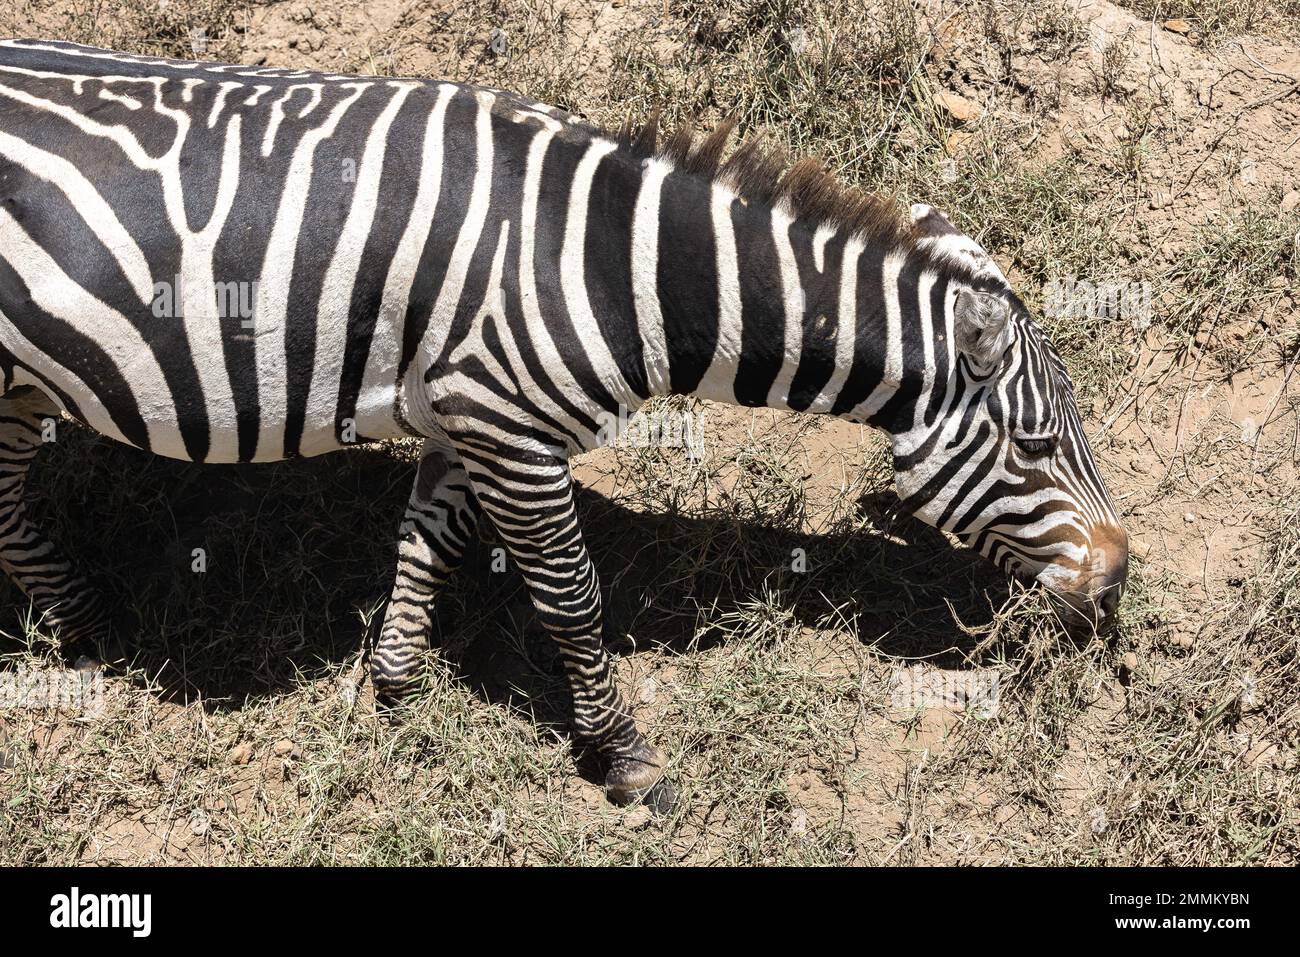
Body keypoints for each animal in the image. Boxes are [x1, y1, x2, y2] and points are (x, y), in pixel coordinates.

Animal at [0, 40, 1127, 809]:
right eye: (1035, 447)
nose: (1118, 581)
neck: (603, 265)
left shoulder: (463, 411)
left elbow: (424, 541)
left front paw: (395, 684)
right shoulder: (507, 426)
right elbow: (572, 599)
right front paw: (624, 759)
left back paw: (80, 618)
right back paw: (88, 629)